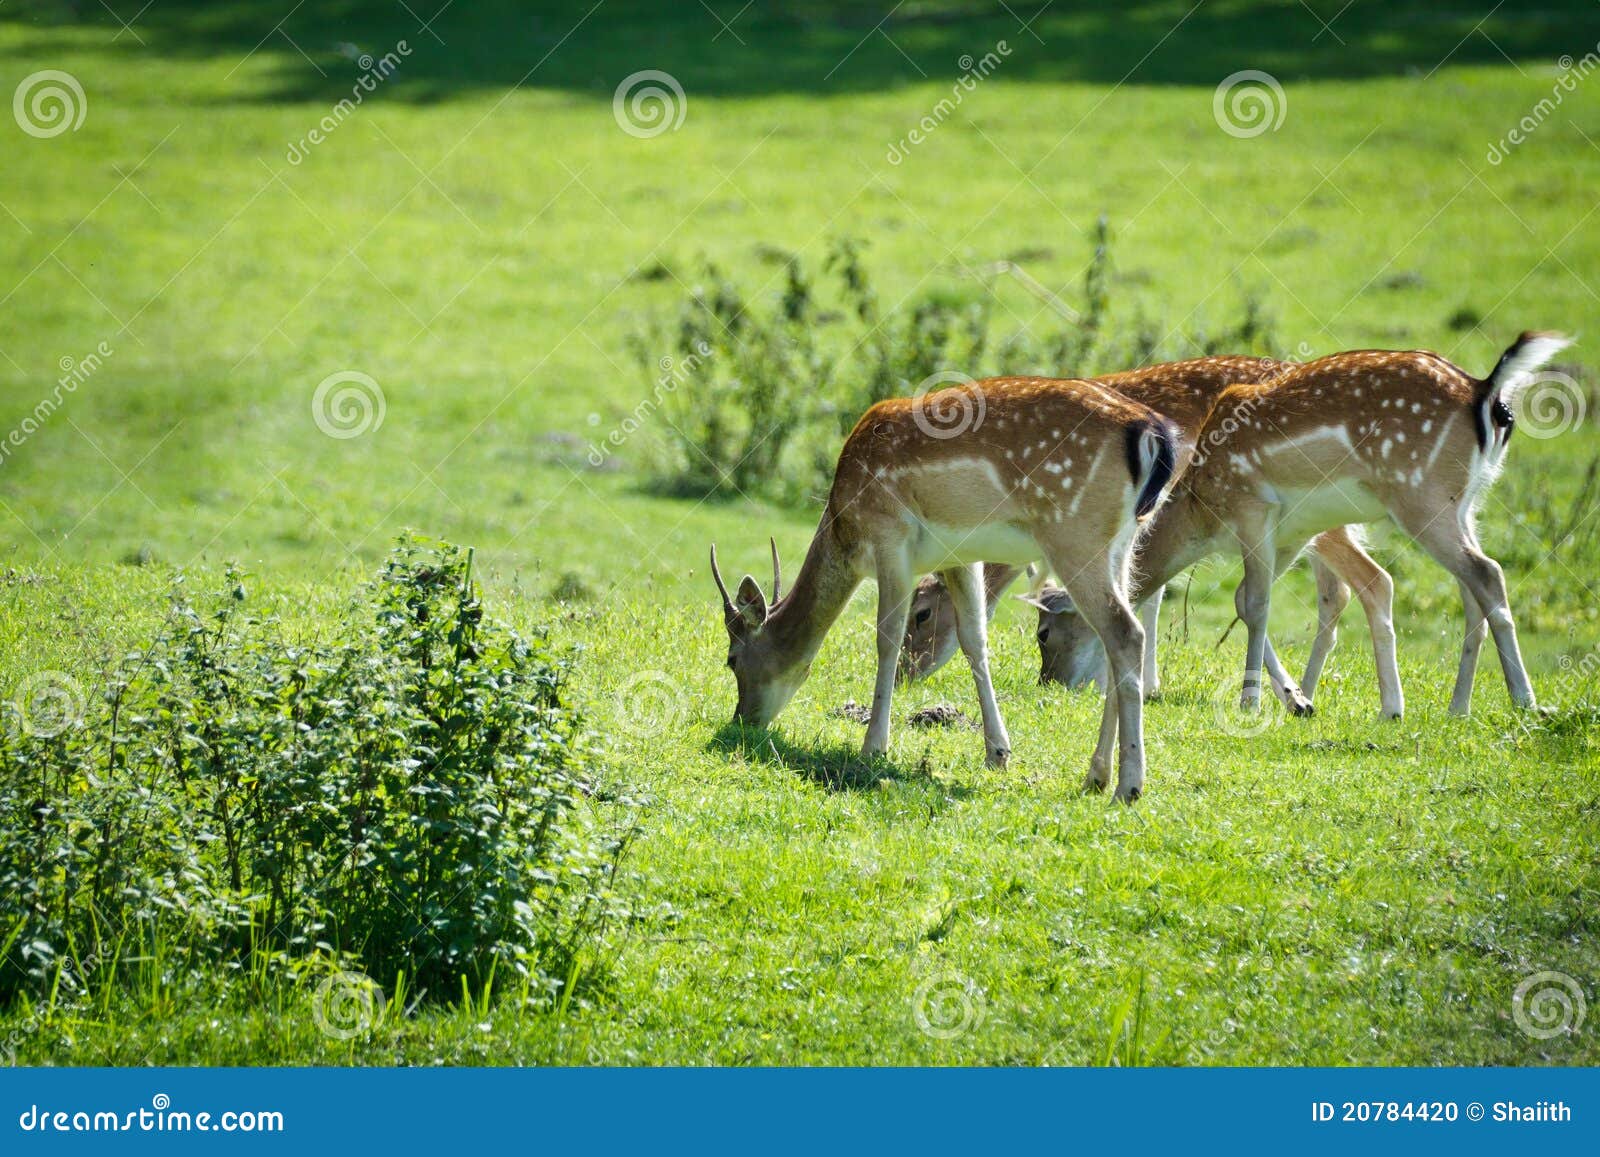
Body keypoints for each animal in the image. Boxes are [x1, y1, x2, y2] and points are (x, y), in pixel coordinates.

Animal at [710, 375, 1180, 803]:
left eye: (731, 660)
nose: (742, 721)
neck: (845, 526)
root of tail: (1154, 433)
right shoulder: (960, 556)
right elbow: (974, 638)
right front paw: (997, 753)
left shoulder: (890, 535)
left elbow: (887, 638)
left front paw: (873, 748)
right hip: (1125, 542)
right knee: (1118, 636)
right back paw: (1095, 777)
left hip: (1074, 534)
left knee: (1126, 632)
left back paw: (1127, 787)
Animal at [897, 357, 1403, 717]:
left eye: (921, 613)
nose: (905, 672)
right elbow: (1149, 590)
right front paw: (1144, 683)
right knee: (1339, 589)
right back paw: (1314, 690)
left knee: (1368, 580)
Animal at [1064, 332, 1571, 776]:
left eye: (1054, 631)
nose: (1059, 683)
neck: (1200, 510)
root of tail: (1487, 394)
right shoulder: (1290, 535)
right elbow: (1244, 601)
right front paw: (1298, 699)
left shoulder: (1255, 512)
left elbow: (1255, 604)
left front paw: (1251, 702)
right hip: (1466, 504)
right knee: (1459, 587)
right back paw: (1447, 707)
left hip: (1422, 498)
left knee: (1485, 573)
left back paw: (1524, 700)